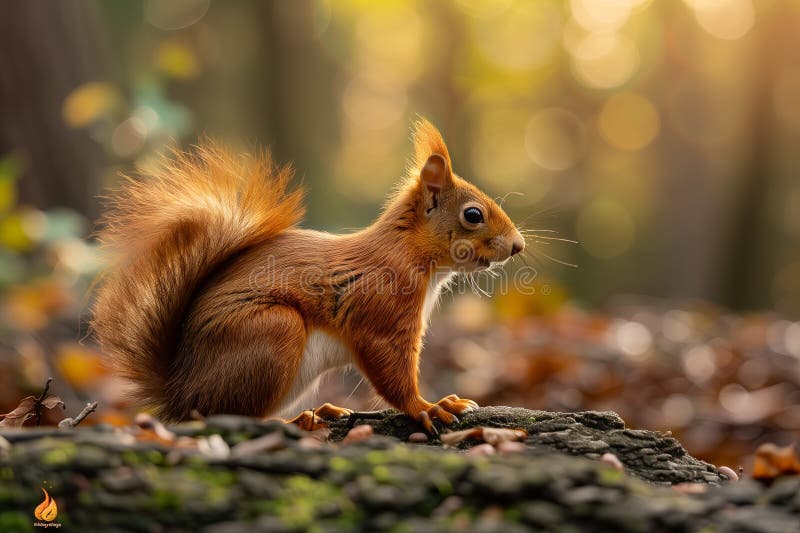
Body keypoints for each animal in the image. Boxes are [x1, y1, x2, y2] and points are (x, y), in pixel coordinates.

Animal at [90, 119, 525, 433]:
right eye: (473, 214)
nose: (517, 245)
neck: (408, 252)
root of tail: (180, 392)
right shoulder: (381, 309)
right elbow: (390, 371)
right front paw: (429, 407)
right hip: (273, 332)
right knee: (226, 415)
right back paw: (298, 421)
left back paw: (321, 412)